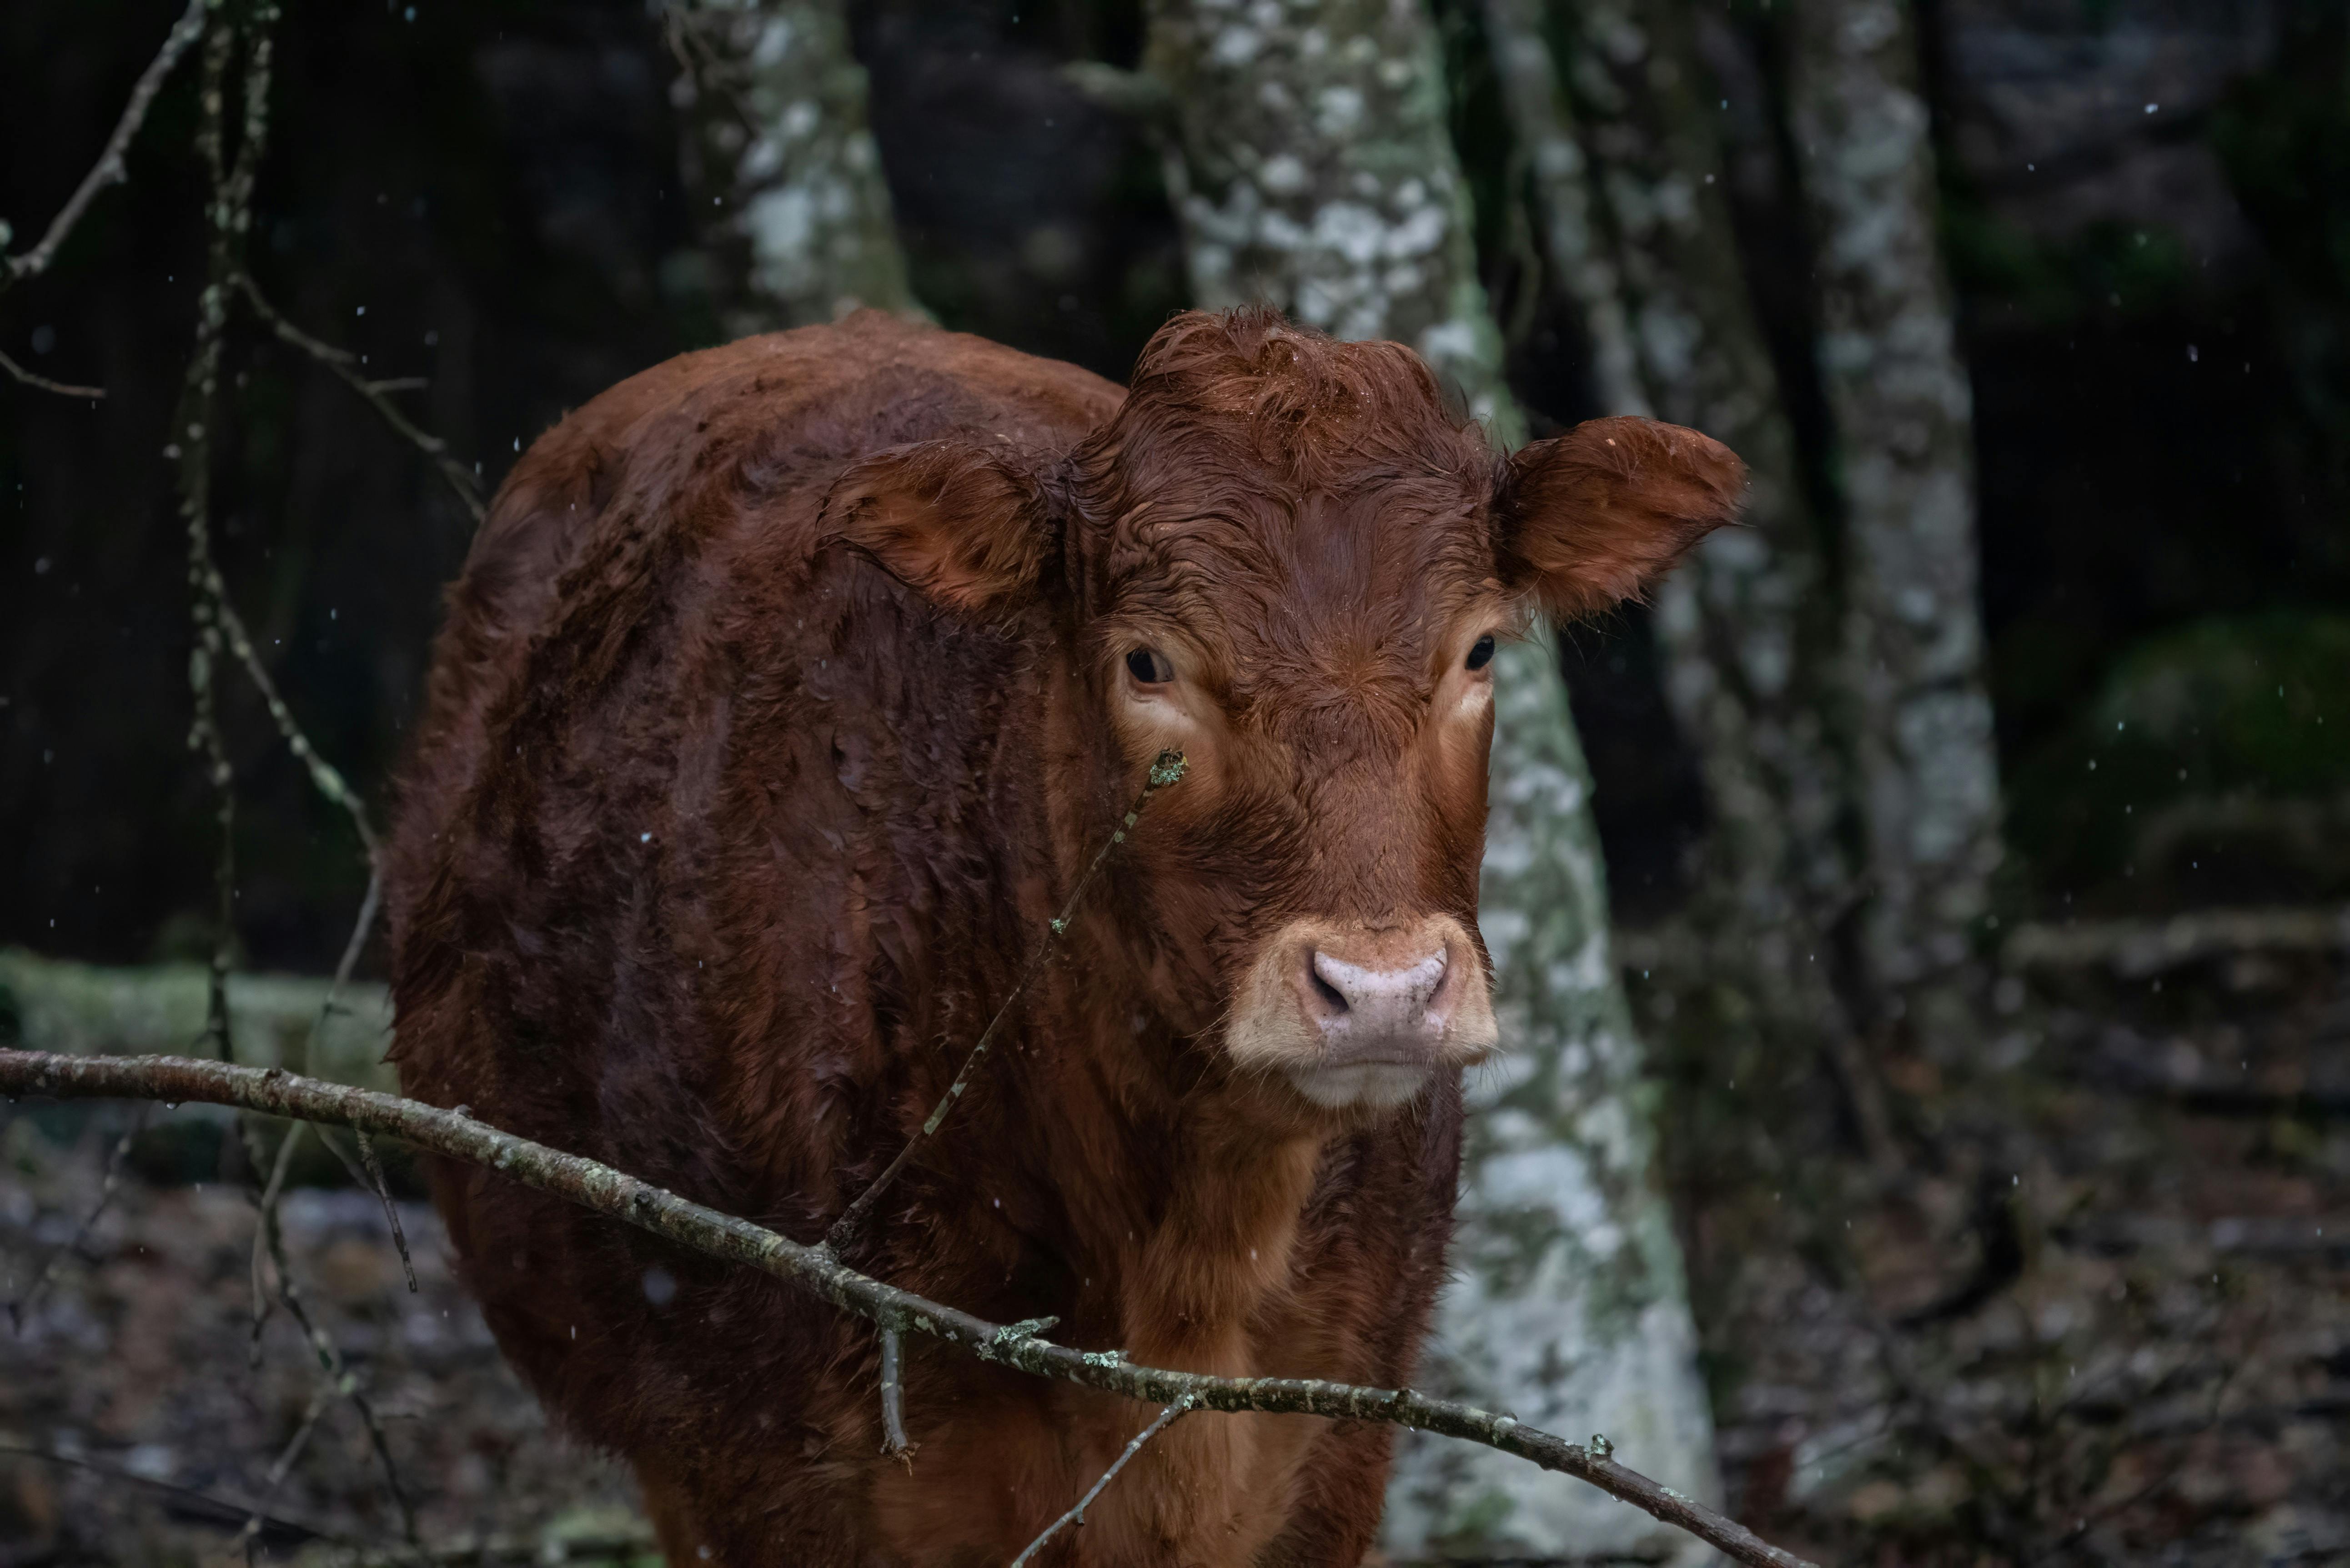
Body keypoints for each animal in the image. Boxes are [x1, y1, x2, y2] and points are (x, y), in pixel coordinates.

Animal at [384, 307, 1741, 1567]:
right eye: (1148, 661)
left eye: (1478, 646)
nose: (1383, 987)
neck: (1189, 1263)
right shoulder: (767, 1470)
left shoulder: (1338, 1440)